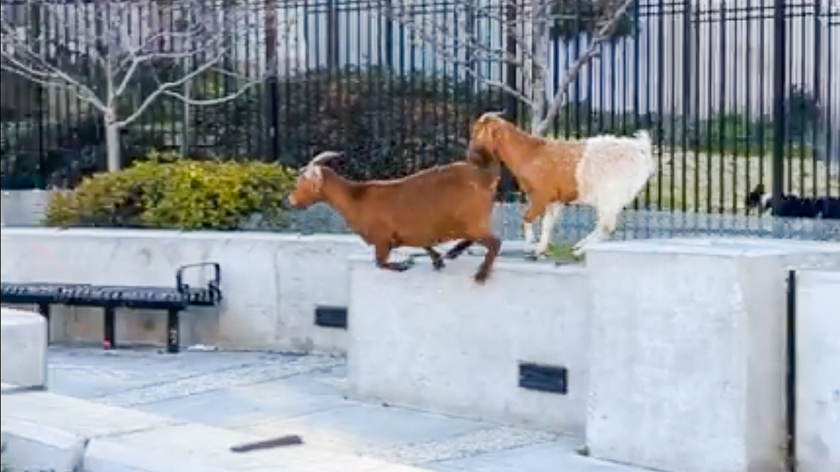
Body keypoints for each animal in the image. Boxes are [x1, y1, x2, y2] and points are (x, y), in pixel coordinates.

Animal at [287, 151, 503, 283]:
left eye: (302, 182)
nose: (291, 200)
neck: (356, 197)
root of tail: (485, 177)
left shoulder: (381, 238)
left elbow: (381, 262)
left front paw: (403, 265)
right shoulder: (412, 233)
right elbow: (424, 244)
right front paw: (436, 260)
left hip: (472, 222)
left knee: (495, 242)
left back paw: (481, 273)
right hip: (470, 223)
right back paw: (453, 252)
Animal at [467, 112, 656, 257]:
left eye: (476, 131)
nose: (470, 154)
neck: (530, 152)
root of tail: (641, 150)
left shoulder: (540, 195)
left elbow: (526, 218)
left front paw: (529, 245)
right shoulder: (555, 200)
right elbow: (547, 224)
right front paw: (540, 249)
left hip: (609, 195)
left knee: (606, 226)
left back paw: (580, 250)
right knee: (604, 226)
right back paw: (579, 246)